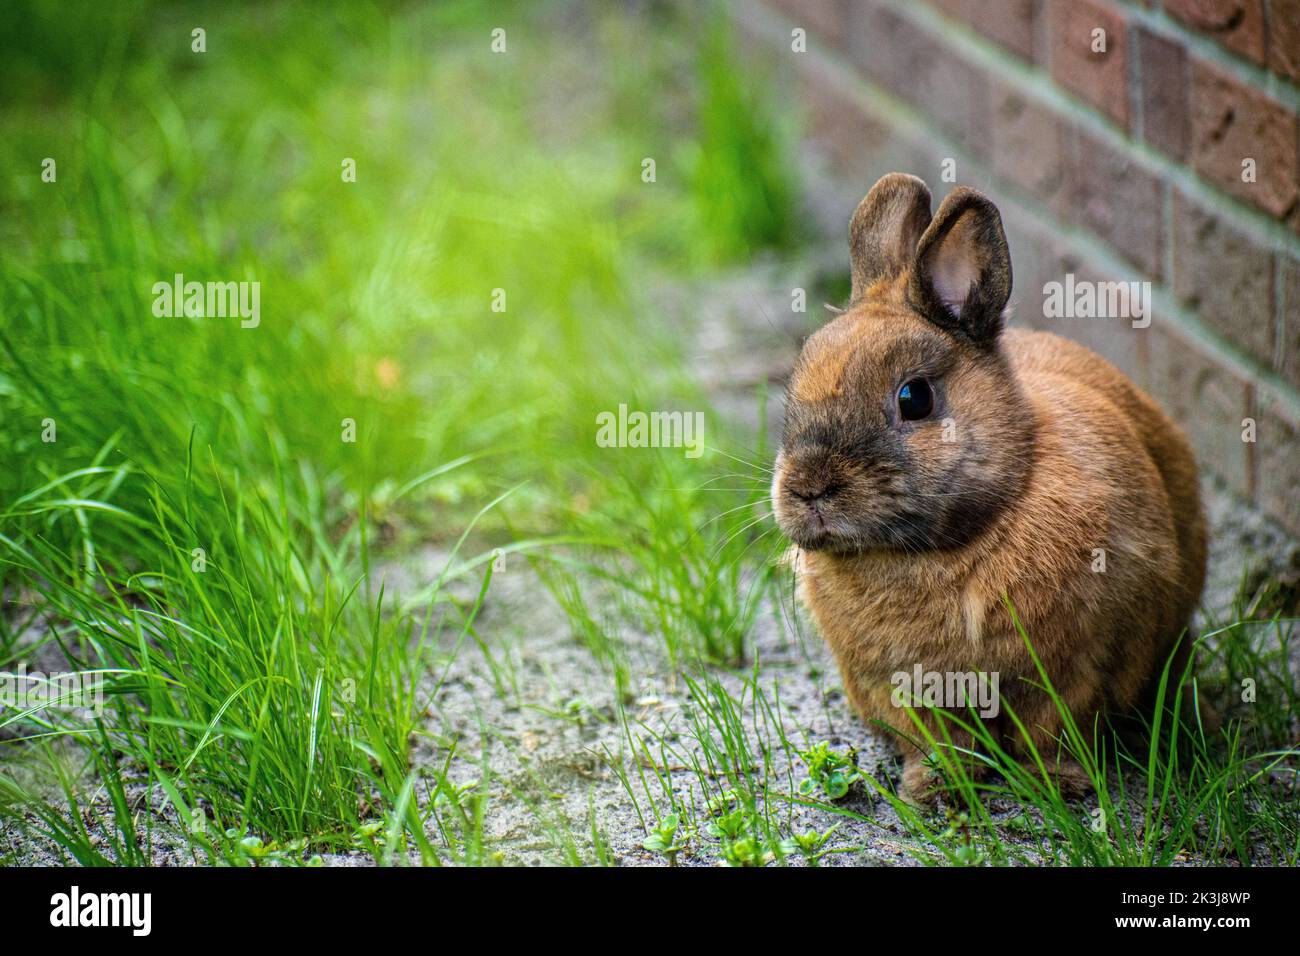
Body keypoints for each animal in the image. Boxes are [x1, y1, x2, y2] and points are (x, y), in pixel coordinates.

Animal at [771, 173, 1207, 803]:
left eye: (914, 398)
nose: (809, 489)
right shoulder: (900, 686)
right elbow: (933, 737)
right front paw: (936, 786)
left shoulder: (1075, 669)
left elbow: (1052, 728)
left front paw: (1056, 783)